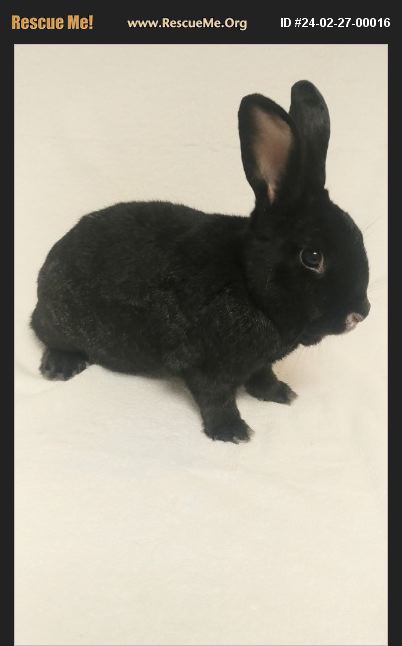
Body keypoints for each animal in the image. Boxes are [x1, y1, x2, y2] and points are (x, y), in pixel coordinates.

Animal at [31, 80, 370, 443]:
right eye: (312, 257)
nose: (361, 313)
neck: (248, 283)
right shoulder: (205, 364)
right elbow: (215, 396)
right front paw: (233, 431)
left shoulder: (259, 363)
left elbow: (262, 376)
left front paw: (281, 393)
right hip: (61, 321)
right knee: (45, 334)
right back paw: (60, 366)